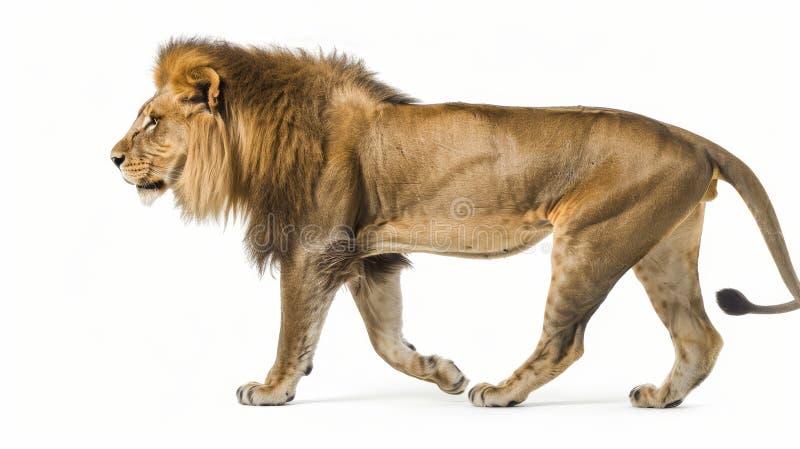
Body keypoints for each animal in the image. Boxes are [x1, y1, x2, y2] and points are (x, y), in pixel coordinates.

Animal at [111, 38, 800, 408]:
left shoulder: (315, 247)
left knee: (566, 340)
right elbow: (387, 340)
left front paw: (273, 389)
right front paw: (442, 372)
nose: (112, 158)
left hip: (590, 240)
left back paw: (501, 394)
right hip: (661, 248)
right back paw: (661, 399)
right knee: (700, 337)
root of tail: (693, 137)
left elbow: (294, 331)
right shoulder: (367, 254)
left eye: (151, 121)